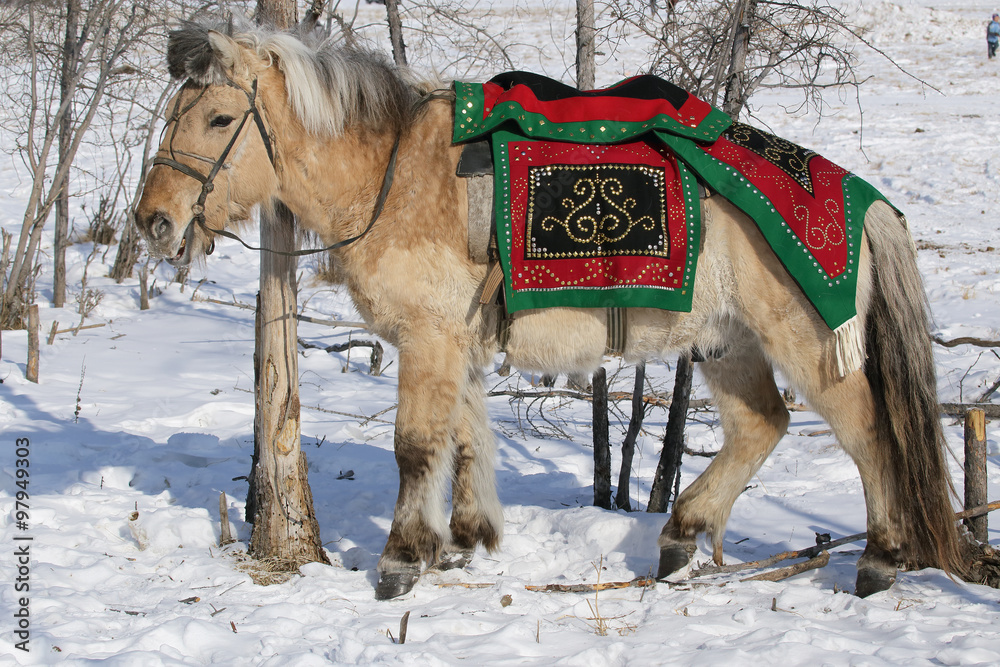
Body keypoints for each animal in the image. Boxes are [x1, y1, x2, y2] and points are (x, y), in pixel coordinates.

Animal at [134, 21, 963, 600]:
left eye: (217, 119)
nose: (153, 222)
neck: (392, 173)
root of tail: (866, 200)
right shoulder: (455, 342)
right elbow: (465, 439)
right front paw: (463, 536)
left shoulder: (428, 338)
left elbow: (416, 447)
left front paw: (401, 560)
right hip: (728, 341)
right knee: (762, 425)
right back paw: (682, 535)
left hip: (807, 338)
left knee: (867, 432)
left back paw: (881, 558)